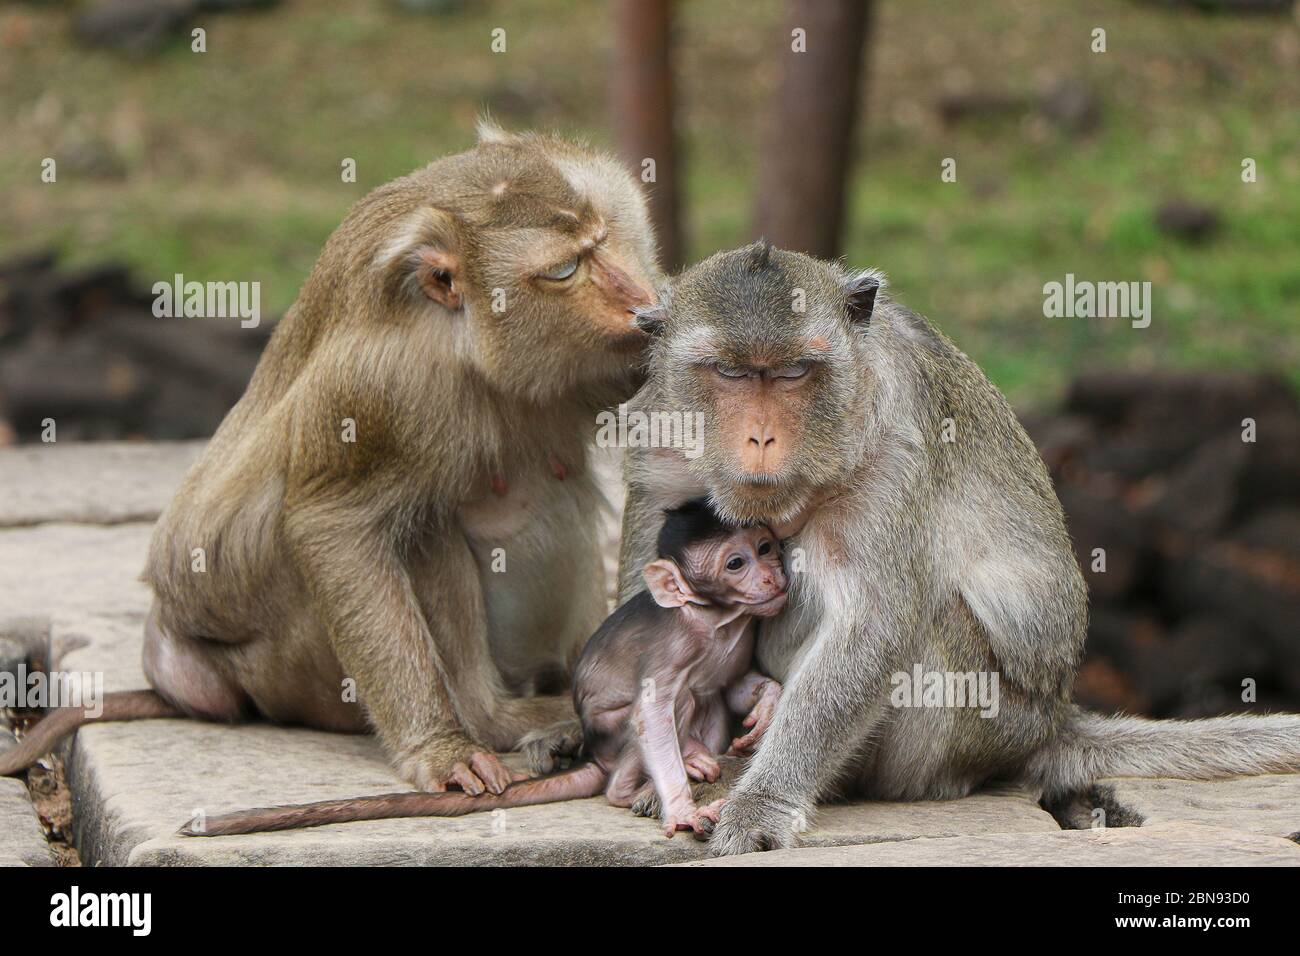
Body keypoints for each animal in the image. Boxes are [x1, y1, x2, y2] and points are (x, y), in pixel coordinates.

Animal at [0, 121, 662, 795]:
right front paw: (439, 747)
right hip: (289, 670)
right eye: (563, 270)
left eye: (605, 239)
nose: (642, 302)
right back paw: (496, 716)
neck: (469, 343)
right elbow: (333, 526)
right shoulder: (380, 390)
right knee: (420, 526)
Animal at [175, 500, 786, 838]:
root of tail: (597, 755)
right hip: (614, 741)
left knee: (704, 699)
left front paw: (767, 704)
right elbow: (653, 710)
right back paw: (643, 780)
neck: (716, 621)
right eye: (735, 562)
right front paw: (680, 807)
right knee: (664, 715)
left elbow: (732, 685)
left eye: (765, 546)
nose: (774, 575)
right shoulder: (676, 647)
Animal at [617, 241, 1300, 856]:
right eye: (730, 373)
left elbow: (875, 624)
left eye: (792, 372)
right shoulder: (658, 432)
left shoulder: (896, 450)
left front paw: (764, 804)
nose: (760, 438)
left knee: (928, 623)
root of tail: (1051, 722)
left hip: (978, 731)